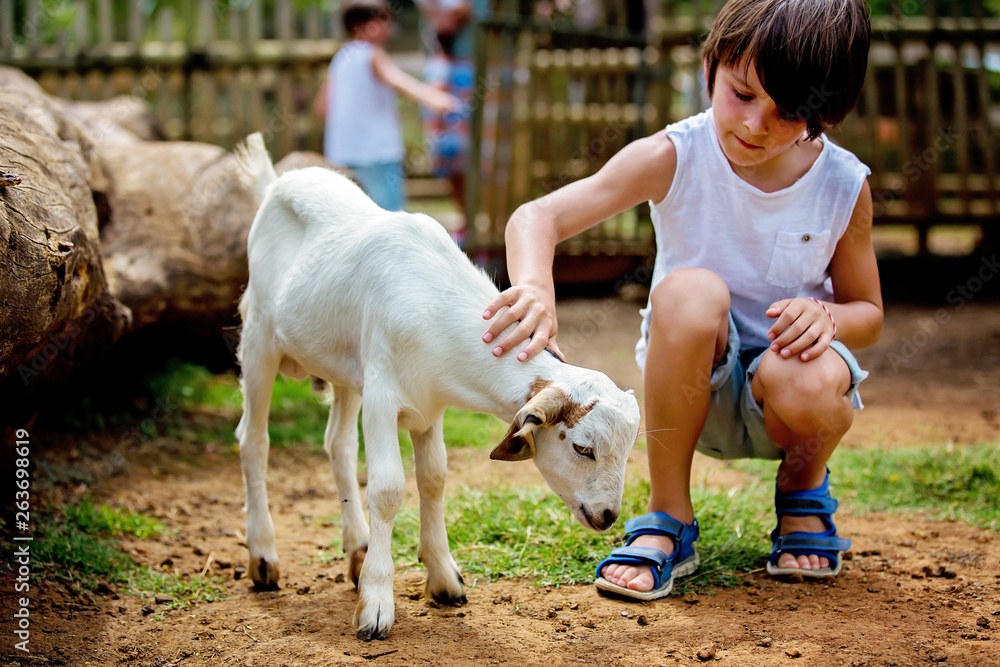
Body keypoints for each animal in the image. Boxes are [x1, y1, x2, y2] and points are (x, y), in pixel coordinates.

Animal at [233, 133, 641, 641]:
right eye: (583, 448)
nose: (607, 516)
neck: (435, 306)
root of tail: (278, 181)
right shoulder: (383, 397)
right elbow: (388, 488)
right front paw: (376, 604)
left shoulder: (430, 406)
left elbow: (434, 477)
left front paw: (444, 578)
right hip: (260, 338)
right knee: (253, 440)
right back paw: (264, 557)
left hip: (345, 367)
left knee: (338, 444)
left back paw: (358, 549)